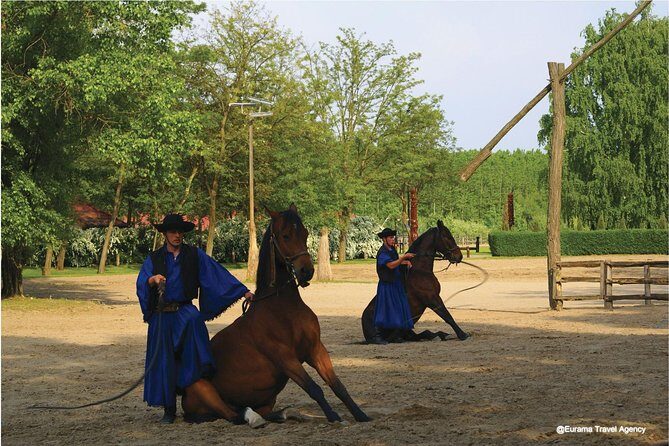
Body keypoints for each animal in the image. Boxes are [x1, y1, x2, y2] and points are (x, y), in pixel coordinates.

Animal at [182, 204, 371, 426]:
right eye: (285, 235)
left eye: (305, 233)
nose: (306, 271)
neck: (283, 308)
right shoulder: (285, 358)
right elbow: (314, 388)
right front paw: (333, 417)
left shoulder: (315, 349)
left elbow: (337, 385)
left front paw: (360, 415)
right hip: (203, 388)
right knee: (234, 415)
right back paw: (254, 417)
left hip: (267, 401)